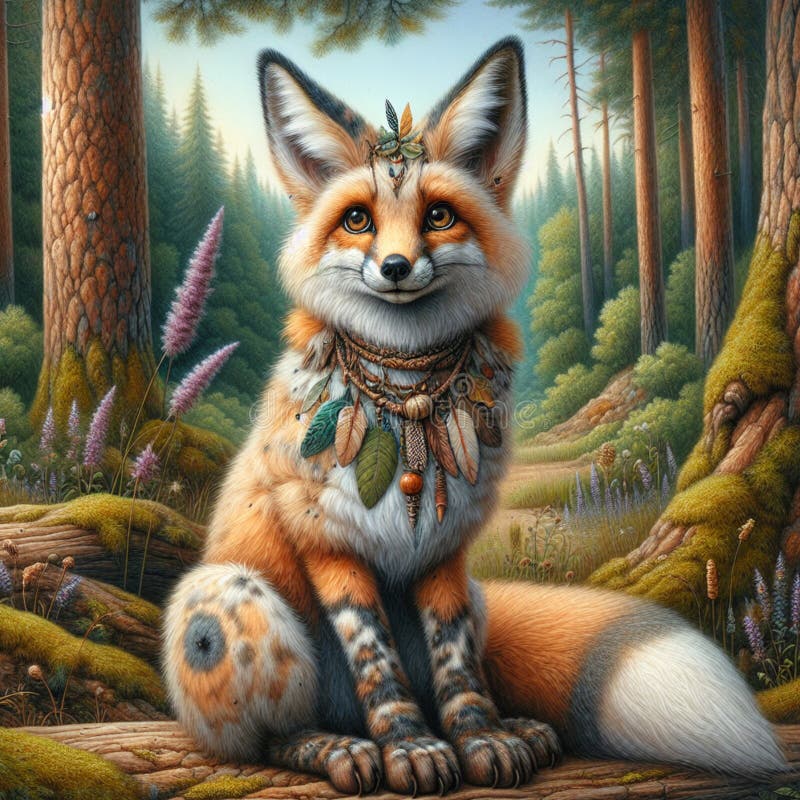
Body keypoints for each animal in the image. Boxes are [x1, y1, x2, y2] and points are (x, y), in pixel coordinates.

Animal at [162, 37, 786, 794]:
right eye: (358, 220)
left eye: (438, 216)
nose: (396, 267)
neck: (406, 396)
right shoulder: (329, 545)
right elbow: (377, 661)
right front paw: (408, 746)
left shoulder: (445, 549)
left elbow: (455, 660)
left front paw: (479, 736)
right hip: (229, 600)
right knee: (263, 737)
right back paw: (332, 747)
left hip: (475, 598)